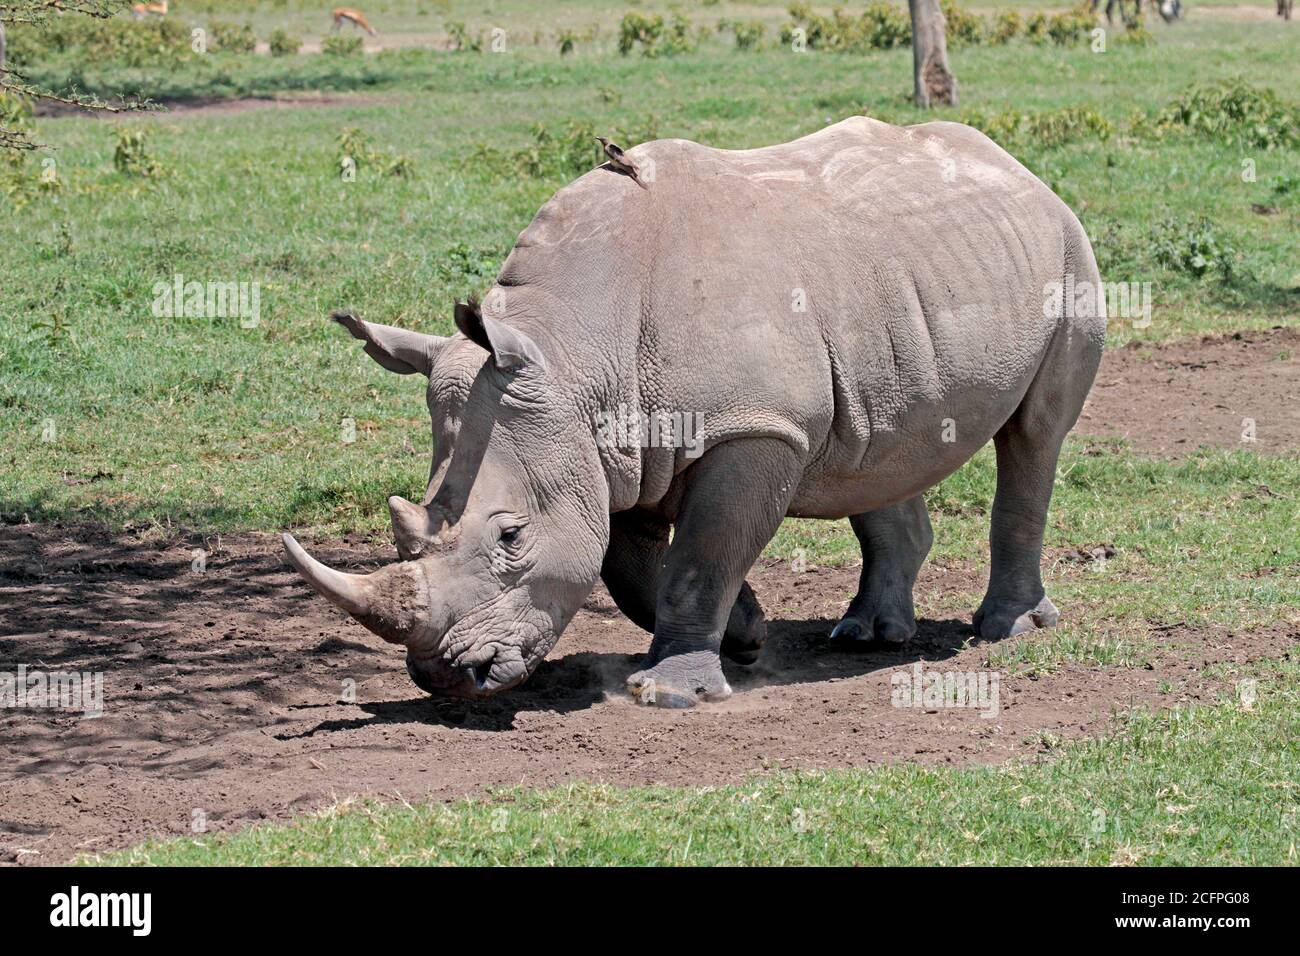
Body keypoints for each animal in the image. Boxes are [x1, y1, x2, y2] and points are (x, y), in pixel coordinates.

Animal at [283, 116, 1105, 708]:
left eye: (511, 536)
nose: (445, 675)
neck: (573, 347)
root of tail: (1019, 170)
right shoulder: (608, 445)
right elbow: (629, 568)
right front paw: (746, 634)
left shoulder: (754, 426)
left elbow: (701, 556)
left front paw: (670, 692)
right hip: (900, 290)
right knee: (877, 444)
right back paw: (867, 637)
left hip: (1069, 251)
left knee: (1035, 436)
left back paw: (1009, 629)